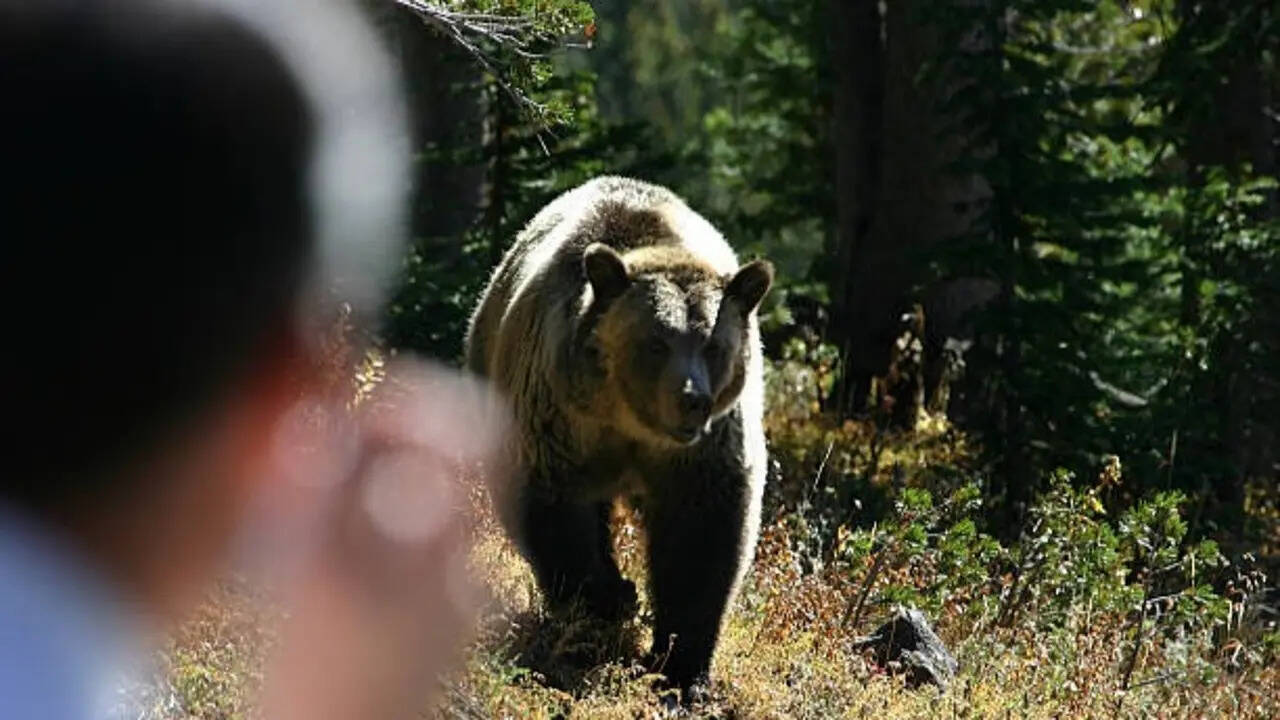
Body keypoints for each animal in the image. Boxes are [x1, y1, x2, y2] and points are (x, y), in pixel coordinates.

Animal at [464, 176, 773, 692]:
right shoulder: (560, 419)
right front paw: (601, 606)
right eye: (657, 342)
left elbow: (703, 537)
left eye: (713, 345)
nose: (692, 399)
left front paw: (681, 664)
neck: (630, 422)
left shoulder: (704, 451)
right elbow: (558, 515)